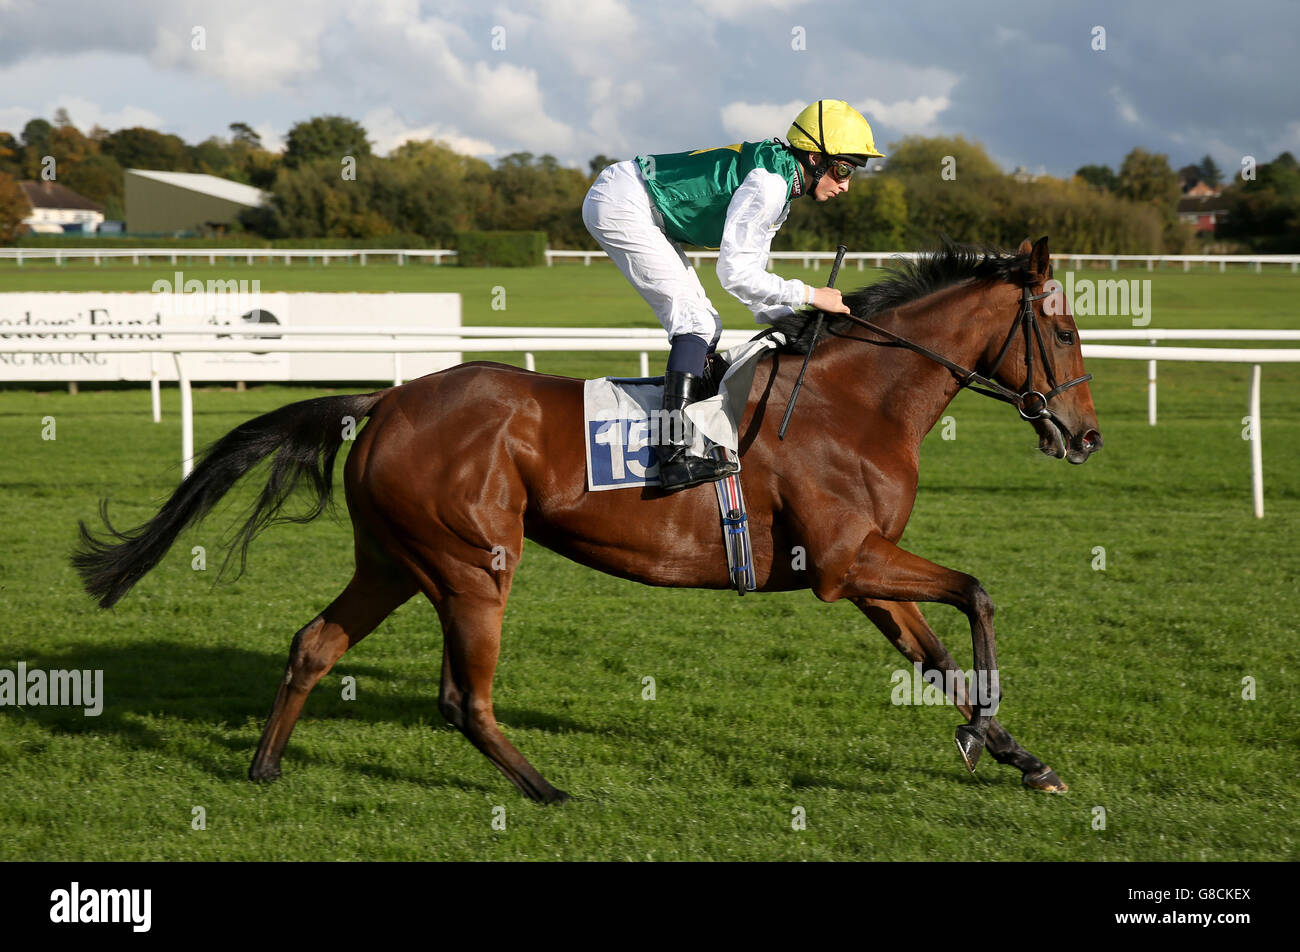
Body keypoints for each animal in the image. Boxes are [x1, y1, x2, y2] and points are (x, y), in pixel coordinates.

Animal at [73, 236, 1101, 804]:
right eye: (1064, 331)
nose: (1085, 434)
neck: (853, 401)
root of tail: (389, 396)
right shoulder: (850, 561)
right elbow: (979, 595)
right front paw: (990, 739)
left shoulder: (856, 569)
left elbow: (938, 653)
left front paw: (1018, 755)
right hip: (473, 562)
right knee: (464, 700)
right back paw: (546, 790)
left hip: (396, 561)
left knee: (316, 643)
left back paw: (264, 768)